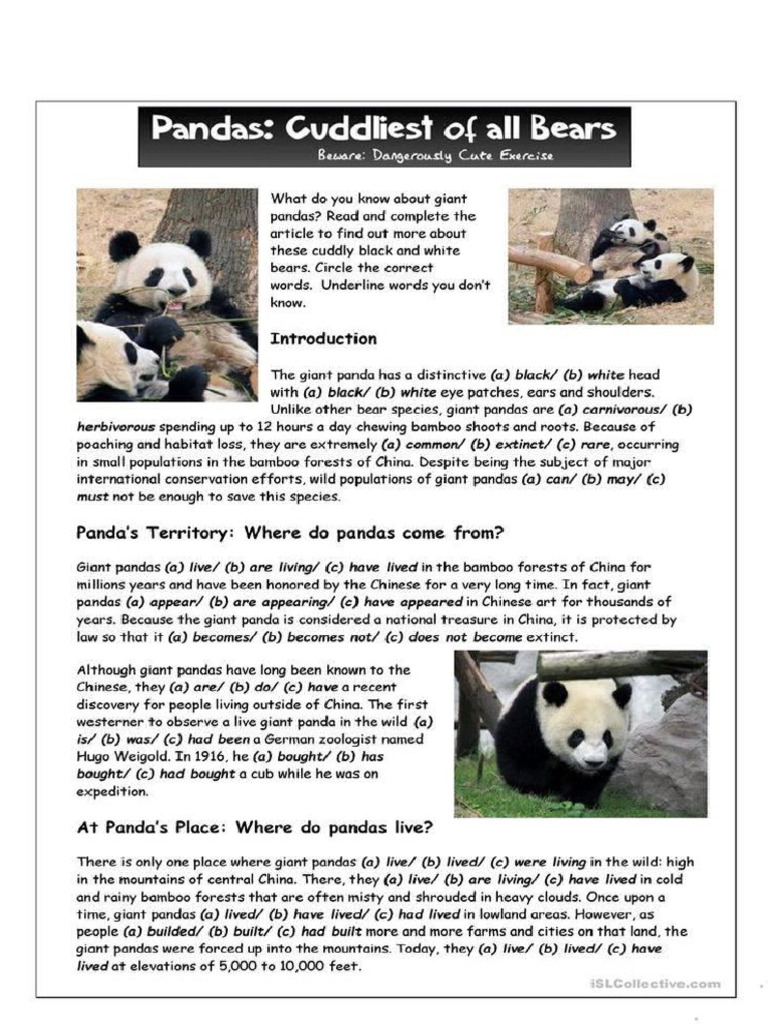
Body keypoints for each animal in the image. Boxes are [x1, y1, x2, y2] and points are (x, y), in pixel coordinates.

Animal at [94, 229, 258, 399]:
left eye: (187, 272)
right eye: (157, 273)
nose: (177, 290)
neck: (178, 314)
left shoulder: (219, 309)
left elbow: (248, 335)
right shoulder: (123, 308)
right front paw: (164, 330)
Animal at [495, 676, 632, 808]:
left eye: (607, 737)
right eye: (577, 735)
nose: (593, 762)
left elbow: (590, 780)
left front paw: (581, 800)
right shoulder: (529, 717)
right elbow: (522, 758)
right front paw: (538, 791)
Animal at [560, 253, 699, 313]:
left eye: (657, 263)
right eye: (656, 258)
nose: (642, 264)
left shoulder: (672, 290)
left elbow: (641, 300)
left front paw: (620, 285)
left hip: (604, 300)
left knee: (589, 300)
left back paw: (563, 302)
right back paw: (570, 285)